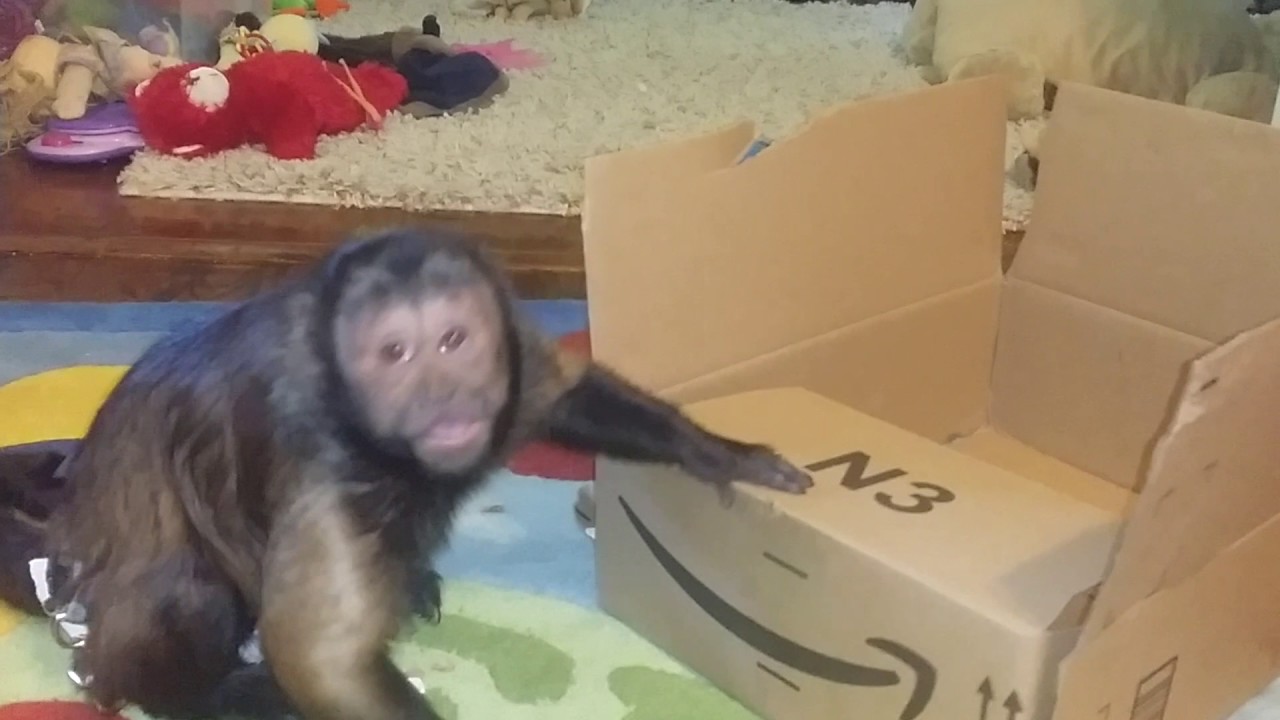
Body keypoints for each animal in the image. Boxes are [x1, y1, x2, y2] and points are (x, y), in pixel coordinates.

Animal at [0, 227, 813, 720]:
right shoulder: (329, 465)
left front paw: (715, 451)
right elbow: (322, 662)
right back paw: (217, 692)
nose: (441, 395)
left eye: (453, 340)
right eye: (395, 353)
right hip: (96, 609)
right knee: (185, 587)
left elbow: (562, 396)